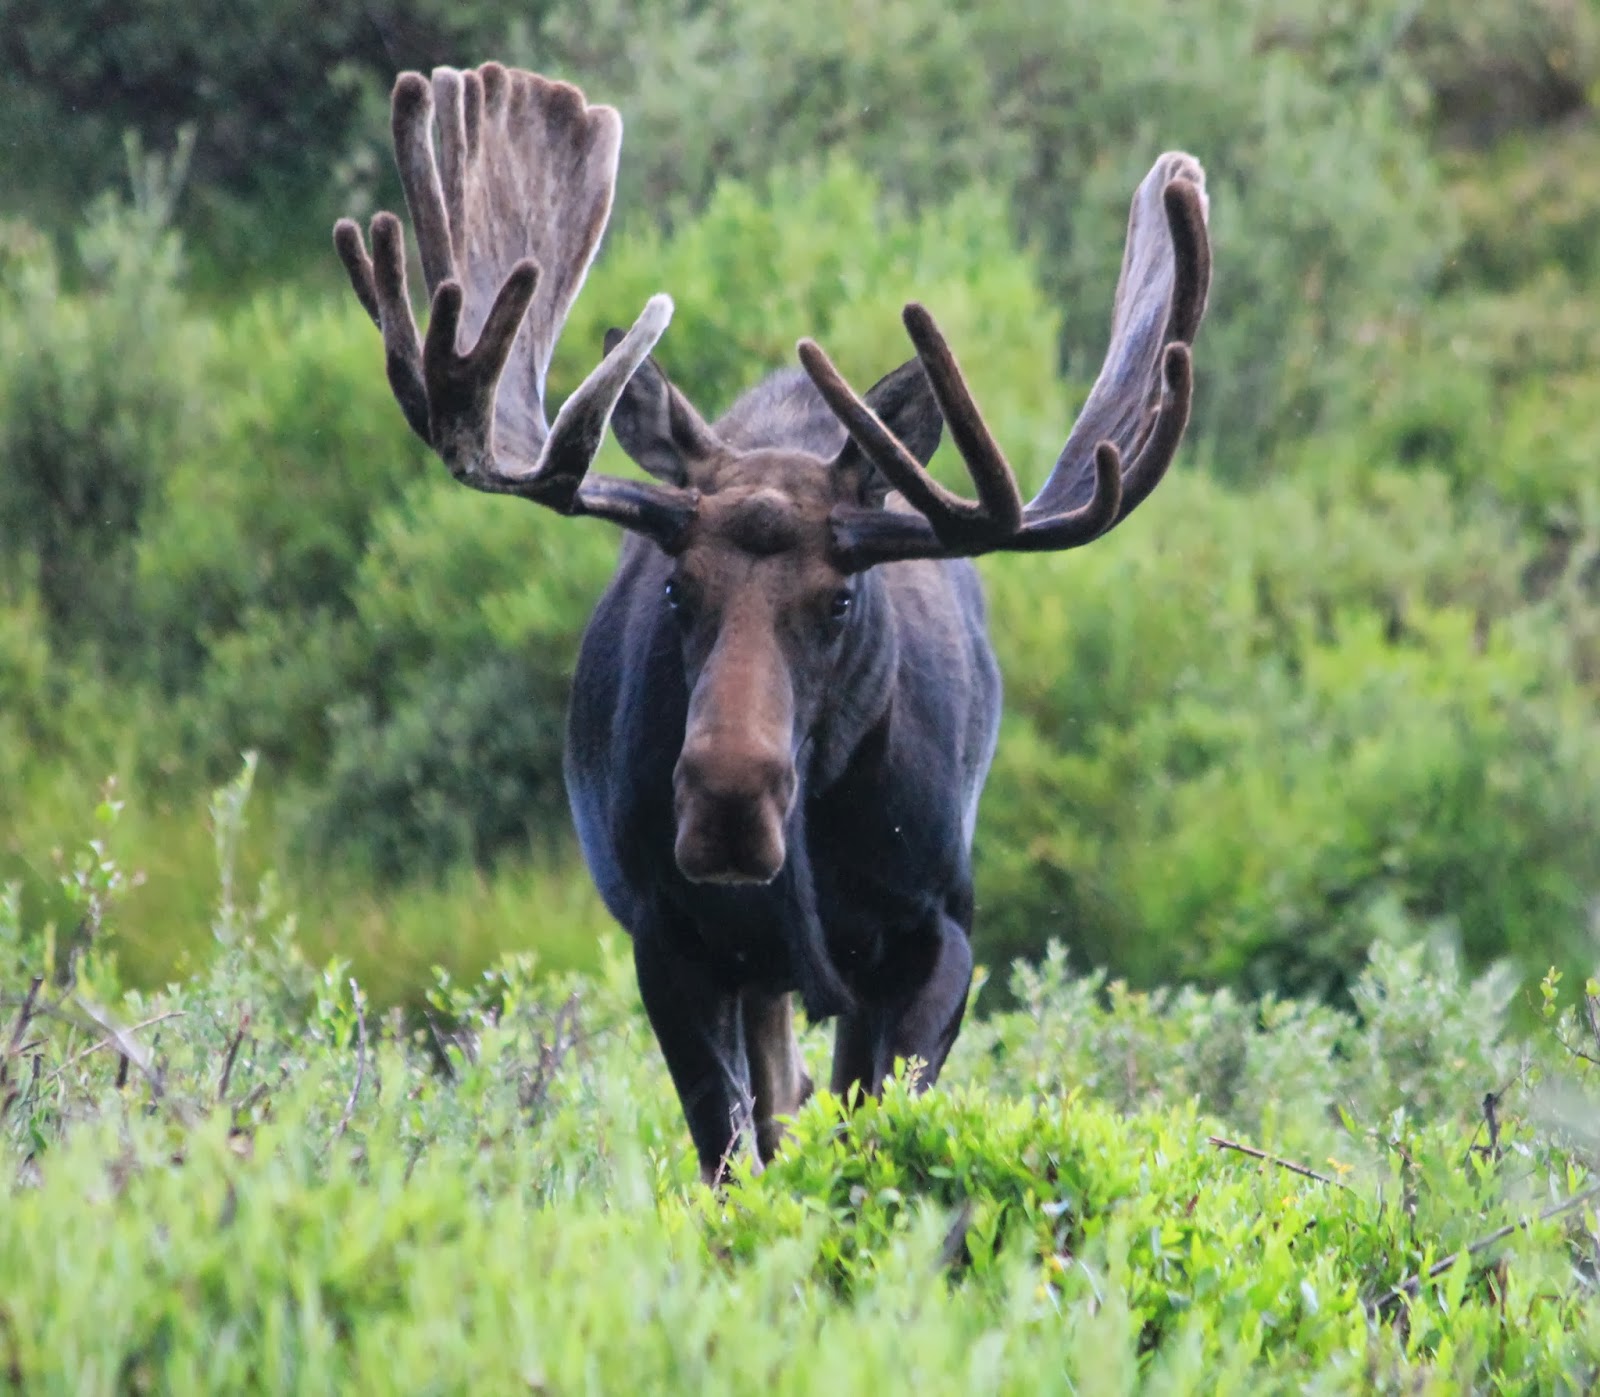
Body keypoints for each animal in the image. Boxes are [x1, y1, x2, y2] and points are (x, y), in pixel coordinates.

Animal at [334, 62, 1210, 1184]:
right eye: (676, 587)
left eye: (840, 598)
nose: (724, 805)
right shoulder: (671, 939)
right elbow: (730, 1151)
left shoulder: (940, 934)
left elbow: (876, 1118)